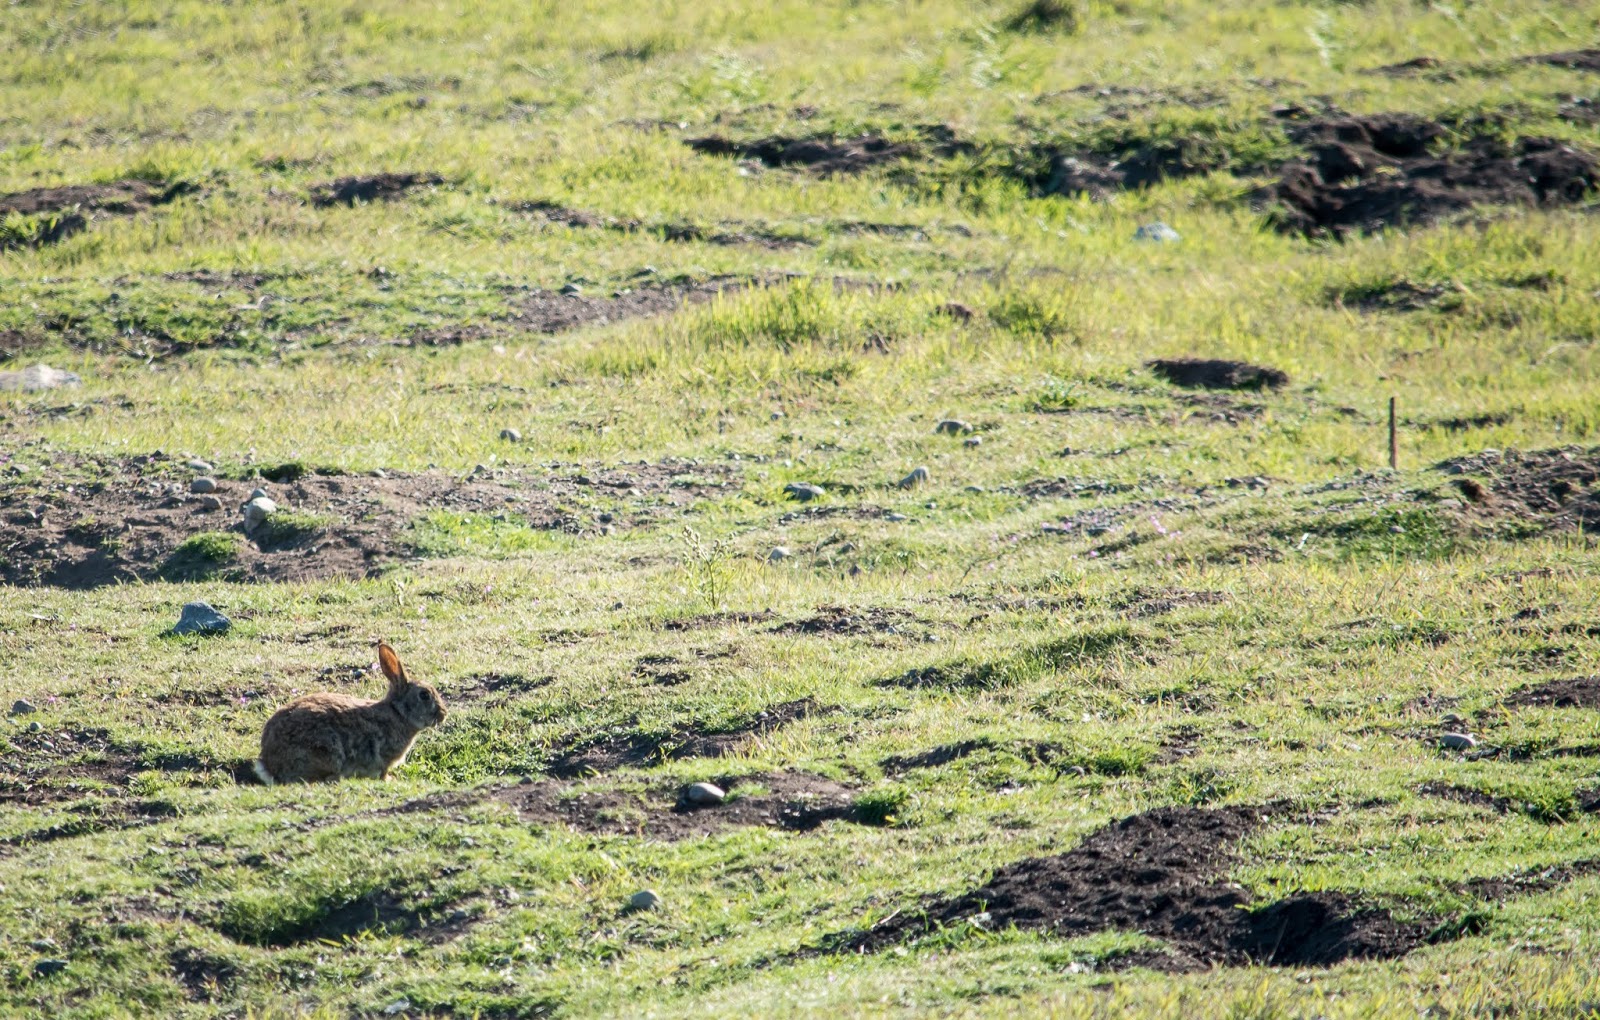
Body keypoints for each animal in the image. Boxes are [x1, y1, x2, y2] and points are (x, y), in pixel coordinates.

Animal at [253, 641, 447, 785]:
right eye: (424, 695)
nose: (443, 714)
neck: (398, 713)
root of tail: (270, 763)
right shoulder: (383, 757)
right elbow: (382, 771)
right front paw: (390, 780)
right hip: (325, 750)